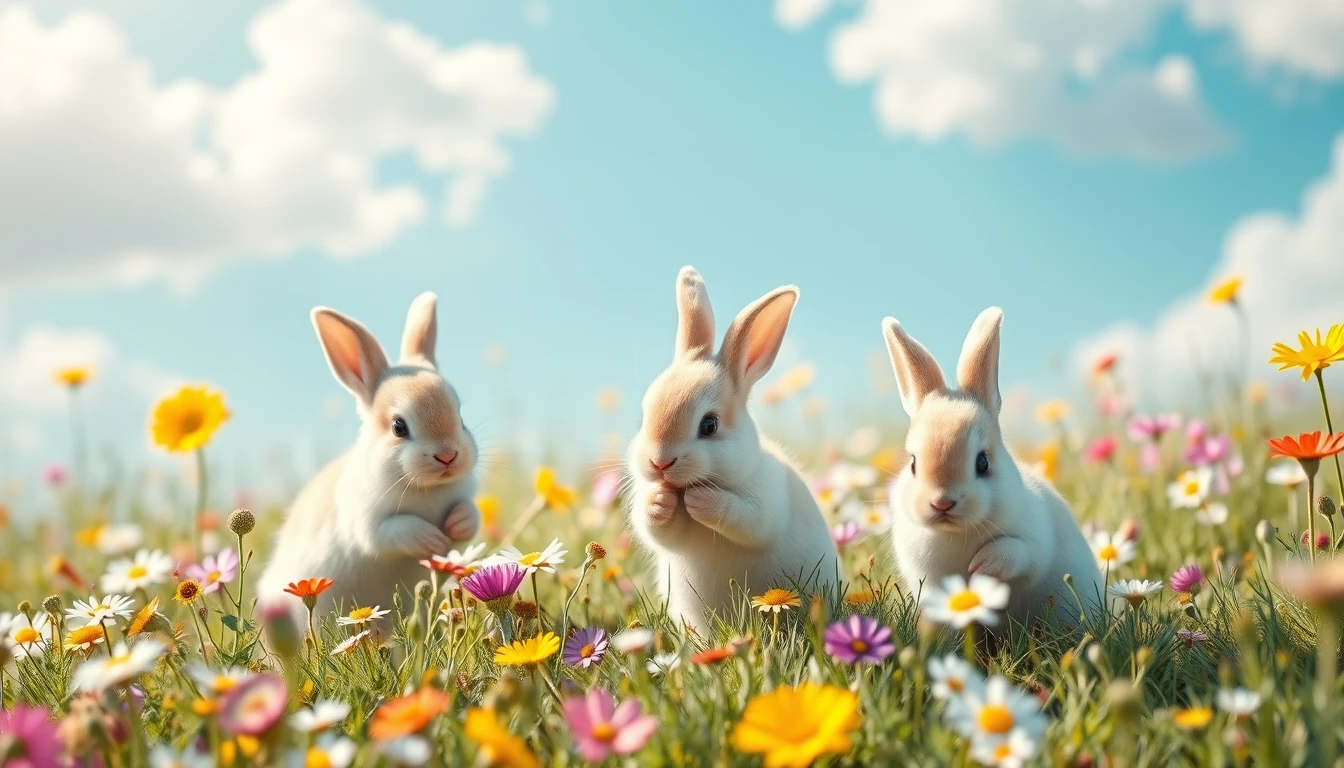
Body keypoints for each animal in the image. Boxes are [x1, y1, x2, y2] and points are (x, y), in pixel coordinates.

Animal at [257, 292, 480, 630]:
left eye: (461, 415)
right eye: (399, 427)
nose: (447, 455)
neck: (426, 488)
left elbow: (471, 518)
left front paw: (457, 523)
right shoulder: (369, 526)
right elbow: (396, 531)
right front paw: (432, 538)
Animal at [626, 266, 839, 631]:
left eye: (709, 425)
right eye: (644, 416)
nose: (659, 462)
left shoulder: (764, 506)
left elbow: (744, 518)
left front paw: (700, 500)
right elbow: (657, 529)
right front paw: (658, 500)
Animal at [881, 307, 1104, 629]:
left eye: (983, 462)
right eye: (913, 463)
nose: (942, 502)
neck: (957, 532)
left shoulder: (1035, 543)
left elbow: (1018, 552)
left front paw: (984, 566)